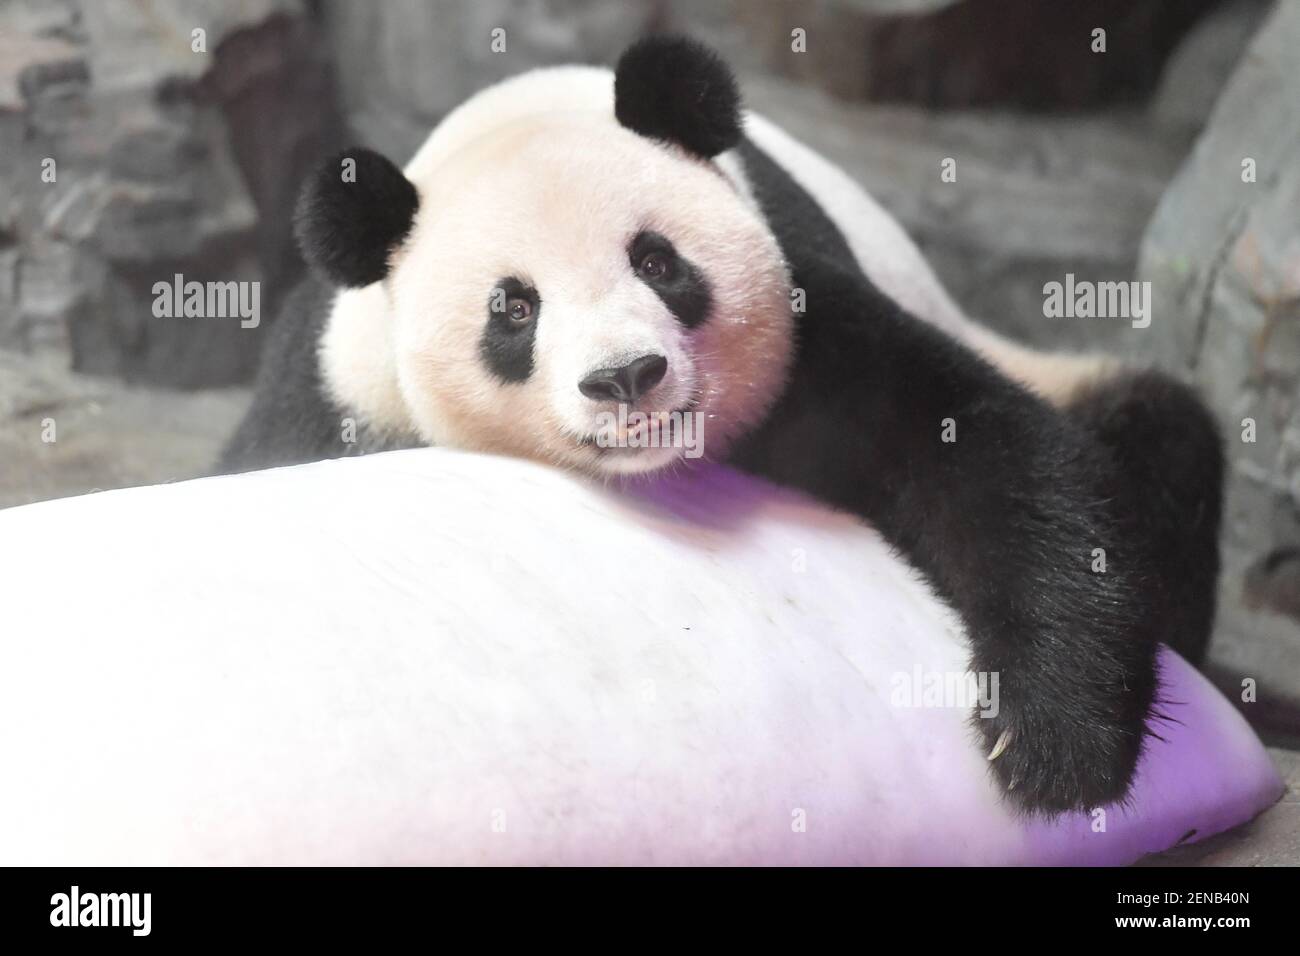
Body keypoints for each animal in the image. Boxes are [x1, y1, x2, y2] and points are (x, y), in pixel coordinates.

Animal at [220, 36, 1224, 816]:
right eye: (514, 309)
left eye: (658, 261)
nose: (627, 377)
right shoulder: (336, 386)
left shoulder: (807, 315)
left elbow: (975, 444)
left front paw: (1050, 737)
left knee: (1164, 431)